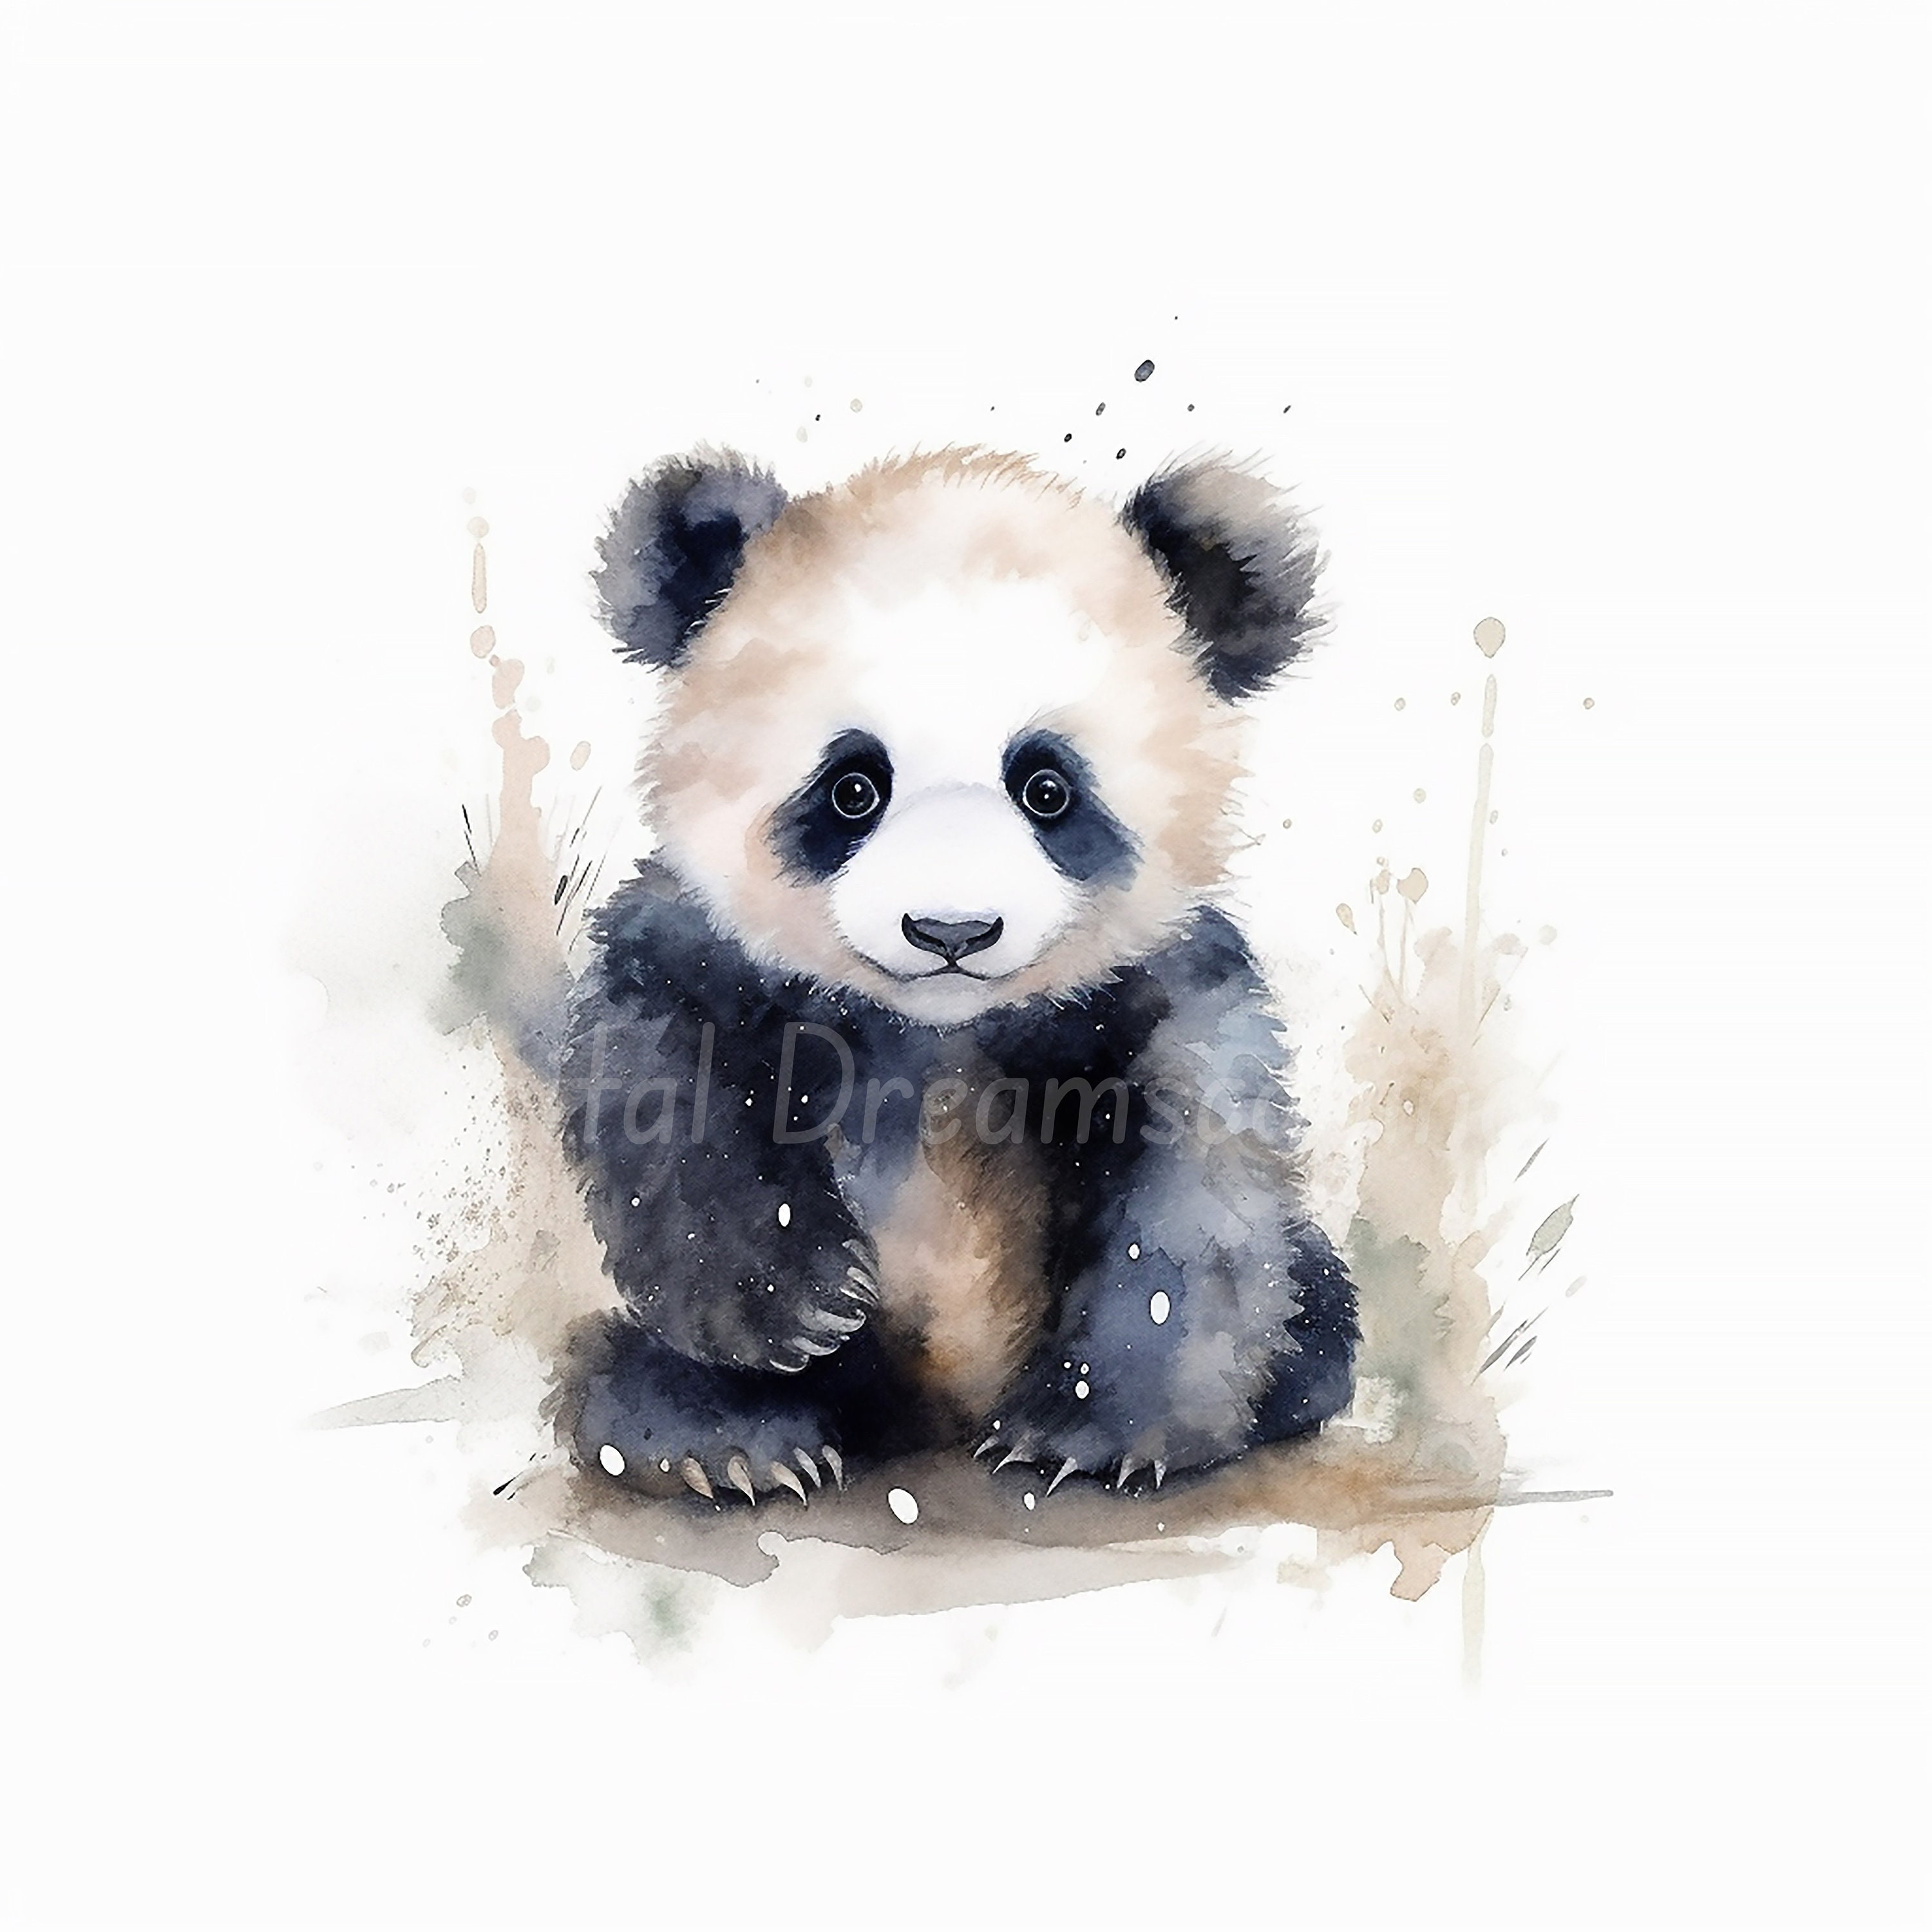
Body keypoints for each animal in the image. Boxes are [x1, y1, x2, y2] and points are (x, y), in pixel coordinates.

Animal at [554, 446, 1356, 1506]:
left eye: (1047, 788)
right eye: (853, 787)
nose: (951, 931)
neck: (937, 1027)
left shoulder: (1158, 981)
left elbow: (1194, 1178)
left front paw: (1090, 1432)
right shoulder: (708, 945)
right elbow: (657, 1088)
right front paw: (805, 1303)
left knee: (1320, 1311)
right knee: (606, 1362)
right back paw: (710, 1434)